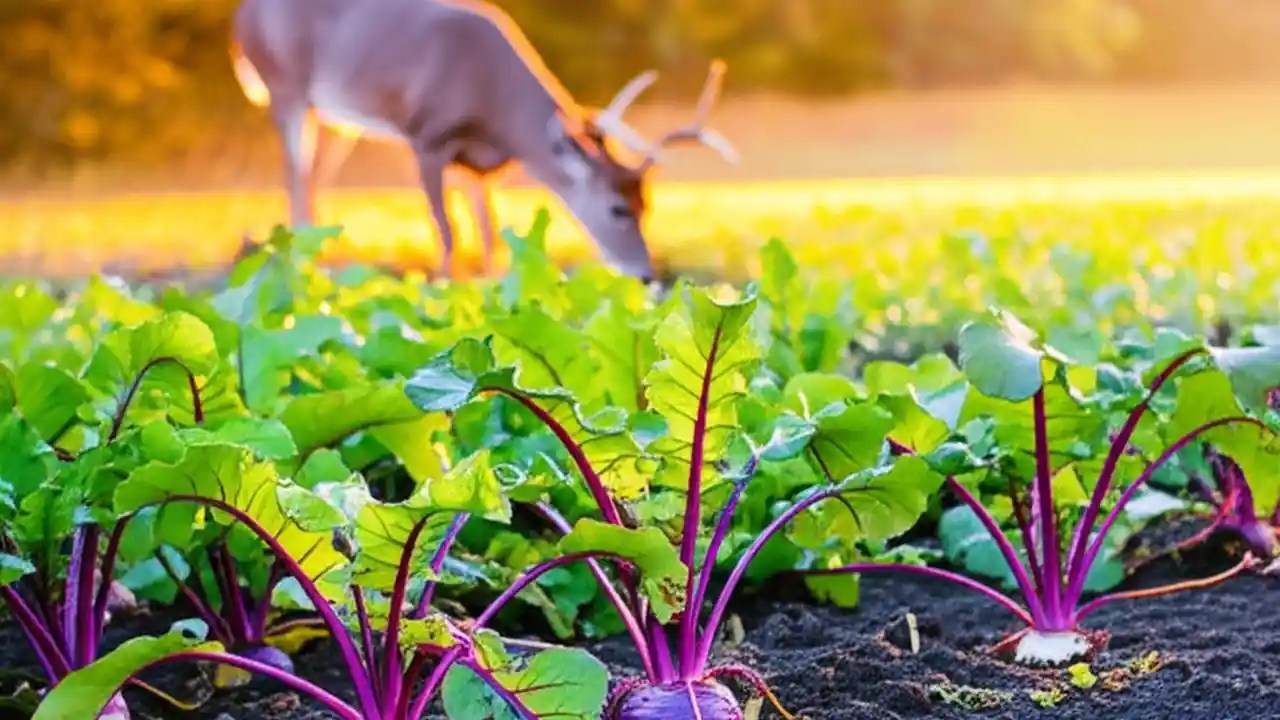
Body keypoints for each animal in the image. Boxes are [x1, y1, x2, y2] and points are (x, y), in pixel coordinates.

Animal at [230, 0, 738, 280]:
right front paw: (444, 291)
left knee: (315, 173)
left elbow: (490, 235)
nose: (646, 275)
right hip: (284, 83)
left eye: (646, 205)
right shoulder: (426, 136)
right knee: (294, 171)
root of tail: (241, 16)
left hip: (337, 118)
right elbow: (448, 231)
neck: (497, 109)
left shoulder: (476, 163)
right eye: (616, 208)